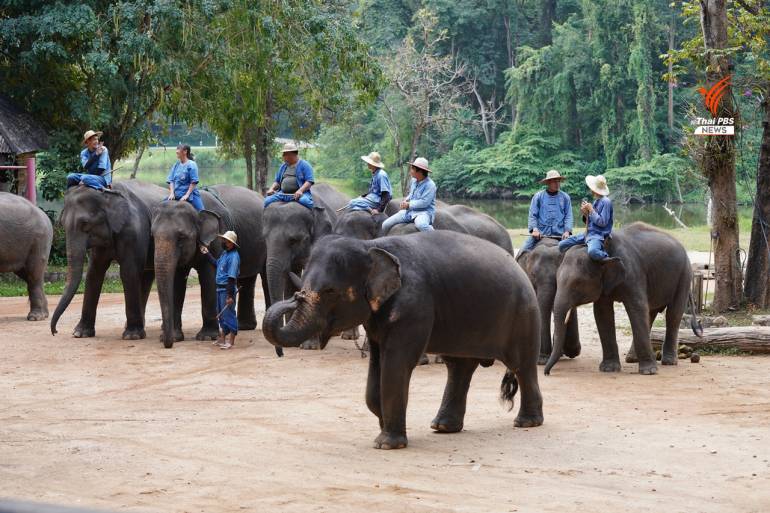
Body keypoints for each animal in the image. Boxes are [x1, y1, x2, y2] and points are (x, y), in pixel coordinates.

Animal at [50, 181, 167, 339]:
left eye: (85, 223)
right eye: (62, 223)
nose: (55, 332)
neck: (105, 193)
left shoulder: (133, 232)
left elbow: (128, 272)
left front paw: (131, 336)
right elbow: (94, 272)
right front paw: (80, 333)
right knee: (147, 276)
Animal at [151, 185, 270, 348]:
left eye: (181, 237)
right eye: (153, 236)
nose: (167, 343)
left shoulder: (218, 236)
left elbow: (209, 276)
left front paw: (207, 337)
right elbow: (177, 281)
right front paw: (175, 337)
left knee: (266, 276)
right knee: (248, 279)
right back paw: (245, 327)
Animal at [262, 183, 349, 349]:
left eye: (293, 240)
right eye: (265, 238)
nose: (297, 298)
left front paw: (309, 346)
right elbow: (291, 276)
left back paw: (347, 336)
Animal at [262, 231, 544, 449]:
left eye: (330, 291)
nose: (294, 297)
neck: (371, 245)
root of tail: (519, 266)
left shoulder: (414, 305)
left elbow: (396, 365)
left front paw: (387, 443)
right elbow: (376, 369)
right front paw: (381, 424)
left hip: (524, 314)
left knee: (521, 365)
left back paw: (526, 423)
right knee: (459, 367)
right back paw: (442, 427)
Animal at [546, 222, 700, 375]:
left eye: (577, 283)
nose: (547, 373)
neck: (604, 250)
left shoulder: (632, 272)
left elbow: (637, 308)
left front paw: (649, 371)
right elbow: (602, 313)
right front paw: (608, 369)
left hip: (684, 276)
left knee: (673, 314)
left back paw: (668, 362)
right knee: (650, 313)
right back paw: (632, 359)